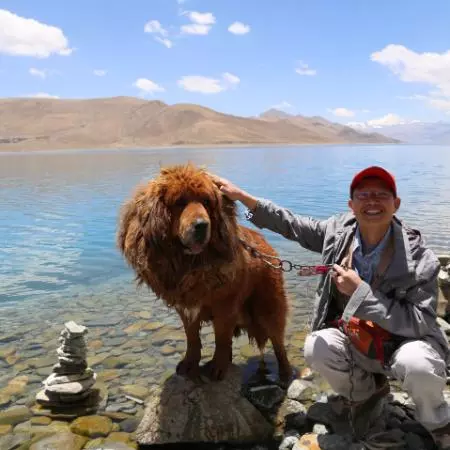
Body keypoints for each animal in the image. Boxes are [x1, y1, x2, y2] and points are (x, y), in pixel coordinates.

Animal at [118, 164, 290, 384]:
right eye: (179, 202)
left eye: (207, 201)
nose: (201, 225)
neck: (192, 265)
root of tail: (267, 248)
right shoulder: (186, 308)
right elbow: (193, 339)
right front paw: (190, 363)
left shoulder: (225, 306)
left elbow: (221, 339)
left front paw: (218, 366)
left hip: (267, 307)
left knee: (277, 341)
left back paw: (285, 372)